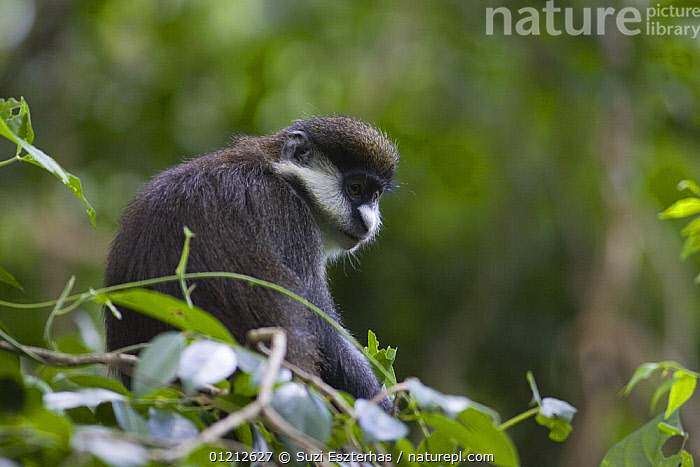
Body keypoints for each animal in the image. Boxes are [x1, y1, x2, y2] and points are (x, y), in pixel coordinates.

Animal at [104, 115, 398, 410]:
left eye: (375, 196)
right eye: (355, 188)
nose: (368, 223)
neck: (279, 173)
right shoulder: (290, 216)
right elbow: (322, 330)